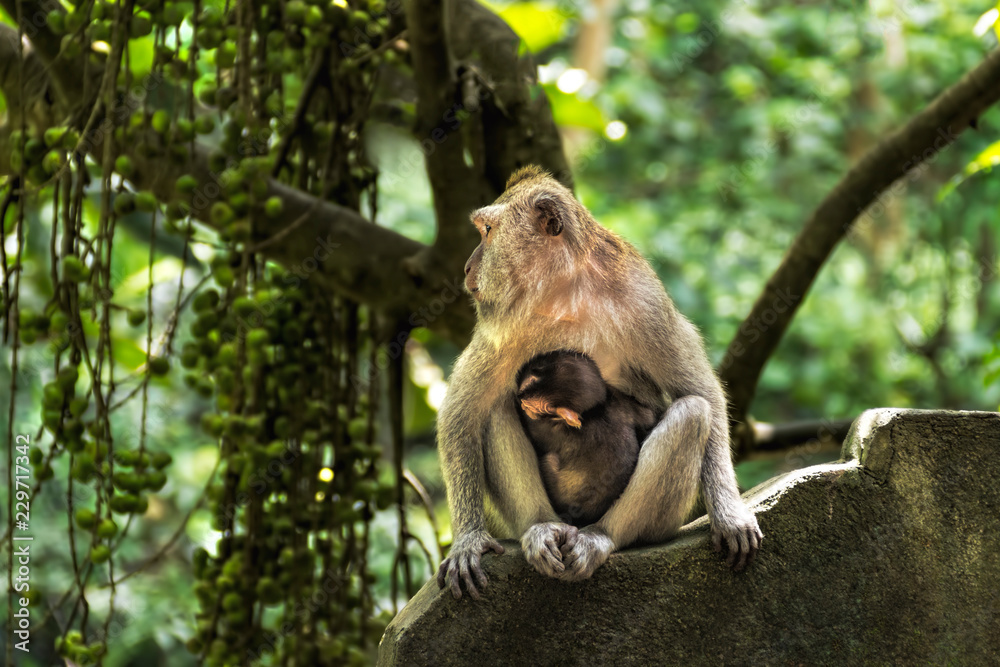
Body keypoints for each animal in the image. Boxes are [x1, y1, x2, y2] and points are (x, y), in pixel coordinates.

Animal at [516, 350, 658, 527]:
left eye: (536, 408)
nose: (523, 402)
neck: (592, 410)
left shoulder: (555, 431)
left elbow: (537, 433)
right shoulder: (619, 400)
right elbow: (649, 416)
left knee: (550, 459)